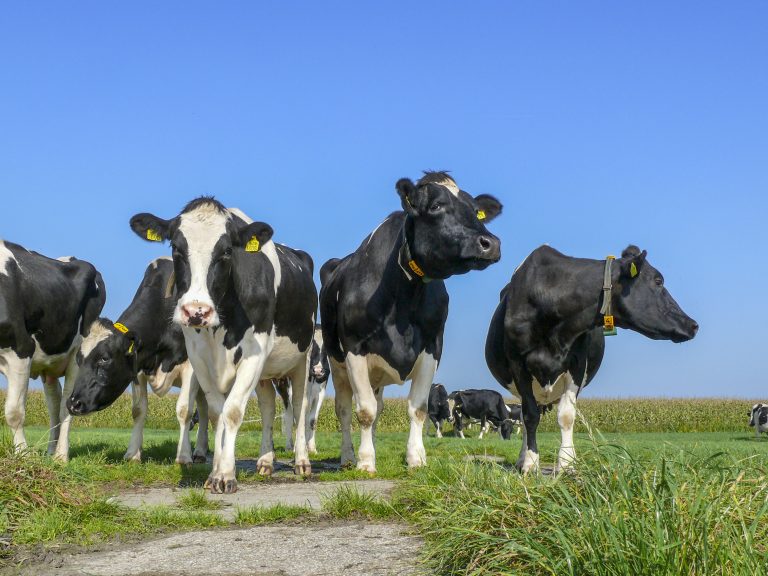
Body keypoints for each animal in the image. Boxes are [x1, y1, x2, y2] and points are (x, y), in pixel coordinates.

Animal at [1, 241, 105, 461]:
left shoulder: (21, 350)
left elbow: (14, 412)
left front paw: (23, 454)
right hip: (48, 366)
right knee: (54, 404)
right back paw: (51, 450)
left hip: (79, 354)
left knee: (67, 405)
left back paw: (61, 456)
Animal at [66, 257, 209, 464]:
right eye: (79, 359)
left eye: (105, 358)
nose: (73, 404)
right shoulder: (138, 367)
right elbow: (138, 410)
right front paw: (133, 454)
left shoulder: (190, 367)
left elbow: (184, 410)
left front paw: (183, 456)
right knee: (205, 409)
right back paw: (200, 451)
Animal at [127, 198, 317, 493]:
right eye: (176, 248)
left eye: (227, 251)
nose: (197, 311)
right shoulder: (198, 357)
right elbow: (217, 414)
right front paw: (215, 470)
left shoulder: (254, 354)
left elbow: (233, 412)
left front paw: (226, 475)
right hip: (266, 373)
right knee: (267, 408)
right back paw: (266, 461)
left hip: (303, 358)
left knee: (300, 405)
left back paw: (302, 462)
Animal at [320, 171, 502, 472]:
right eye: (436, 206)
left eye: (477, 210)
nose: (491, 244)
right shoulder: (355, 350)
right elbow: (364, 411)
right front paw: (366, 462)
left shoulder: (432, 347)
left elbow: (417, 408)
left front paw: (416, 457)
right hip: (337, 365)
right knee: (345, 410)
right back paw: (348, 457)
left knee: (379, 406)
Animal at [486, 245, 698, 474]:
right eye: (658, 281)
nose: (693, 324)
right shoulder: (518, 365)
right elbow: (530, 416)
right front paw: (531, 462)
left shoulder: (578, 363)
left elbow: (567, 416)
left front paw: (567, 463)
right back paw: (521, 458)